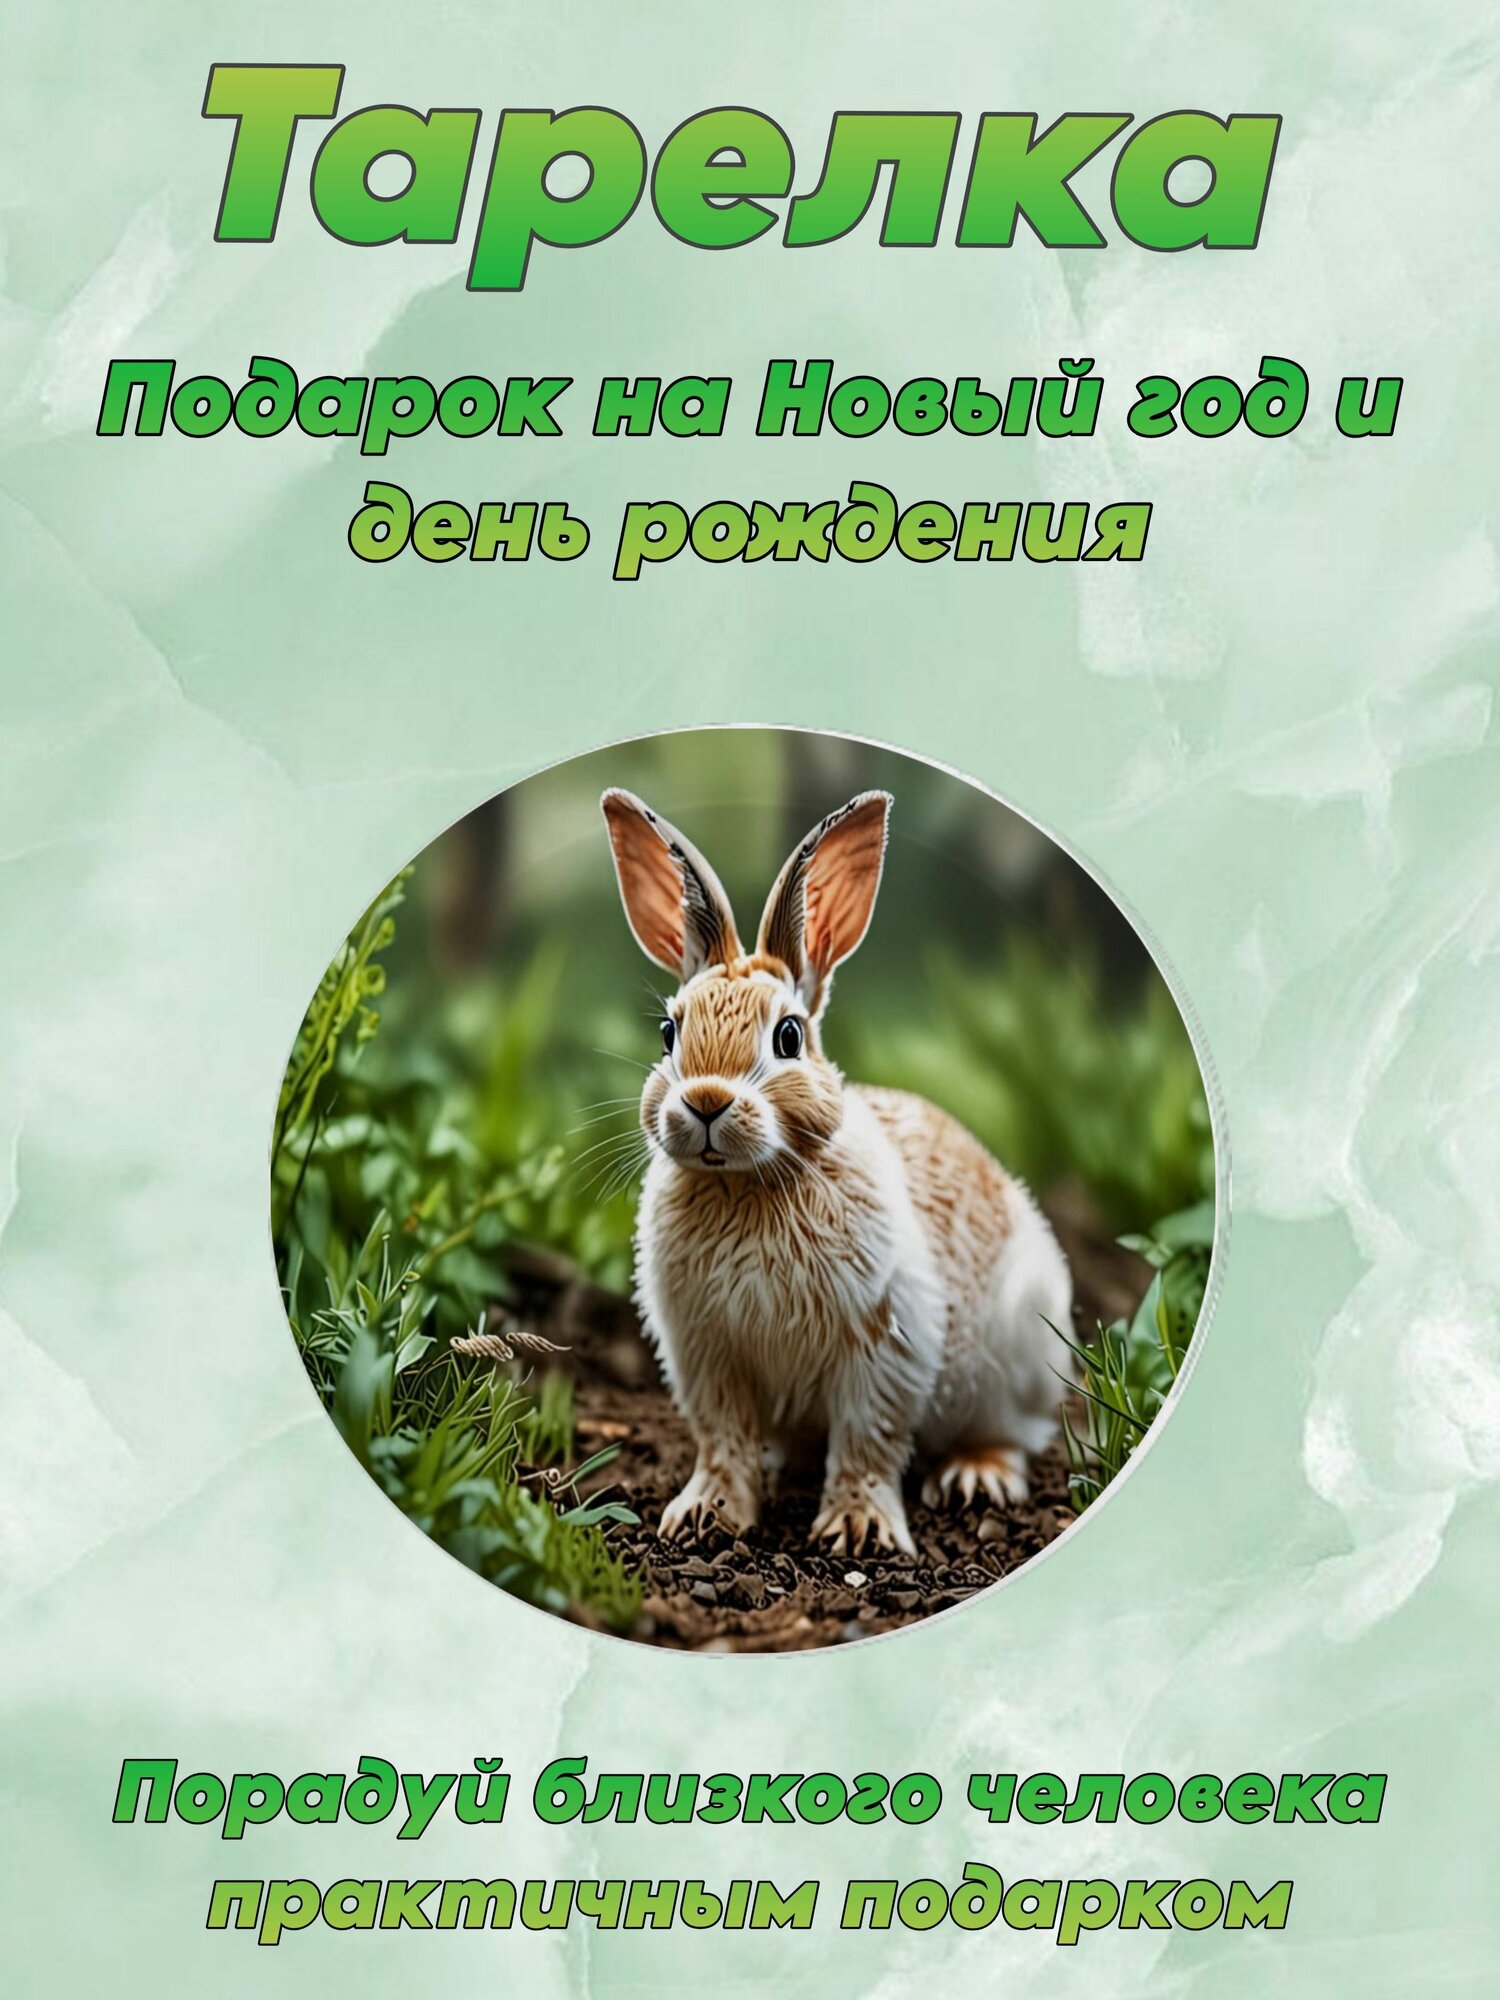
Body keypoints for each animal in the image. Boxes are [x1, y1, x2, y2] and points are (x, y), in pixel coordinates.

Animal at [599, 785, 1074, 1555]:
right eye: (669, 1033)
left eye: (789, 1036)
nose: (705, 1102)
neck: (753, 1180)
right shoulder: (708, 1354)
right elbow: (722, 1437)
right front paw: (705, 1515)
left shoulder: (885, 1342)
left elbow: (867, 1438)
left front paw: (859, 1531)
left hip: (1012, 1358)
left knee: (1011, 1435)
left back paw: (975, 1480)